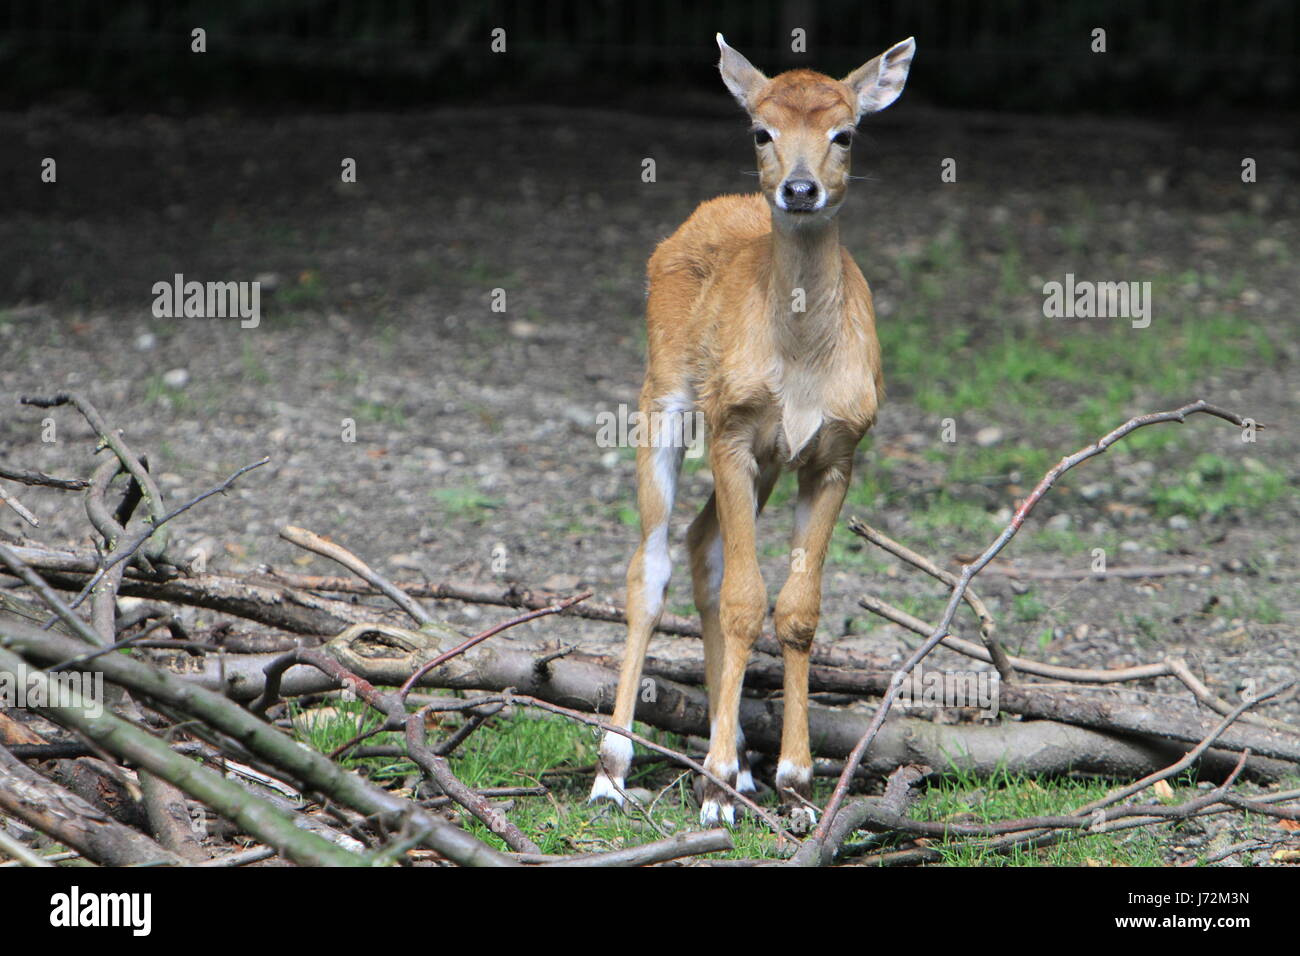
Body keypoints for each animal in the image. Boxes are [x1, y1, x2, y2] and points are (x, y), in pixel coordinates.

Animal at [589, 34, 916, 829]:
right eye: (761, 131)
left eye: (845, 133)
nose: (799, 189)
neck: (802, 368)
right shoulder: (732, 432)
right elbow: (745, 602)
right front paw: (711, 789)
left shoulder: (835, 452)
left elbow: (796, 610)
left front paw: (794, 782)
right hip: (666, 394)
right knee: (651, 563)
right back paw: (615, 767)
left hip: (765, 459)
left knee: (702, 545)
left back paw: (736, 760)